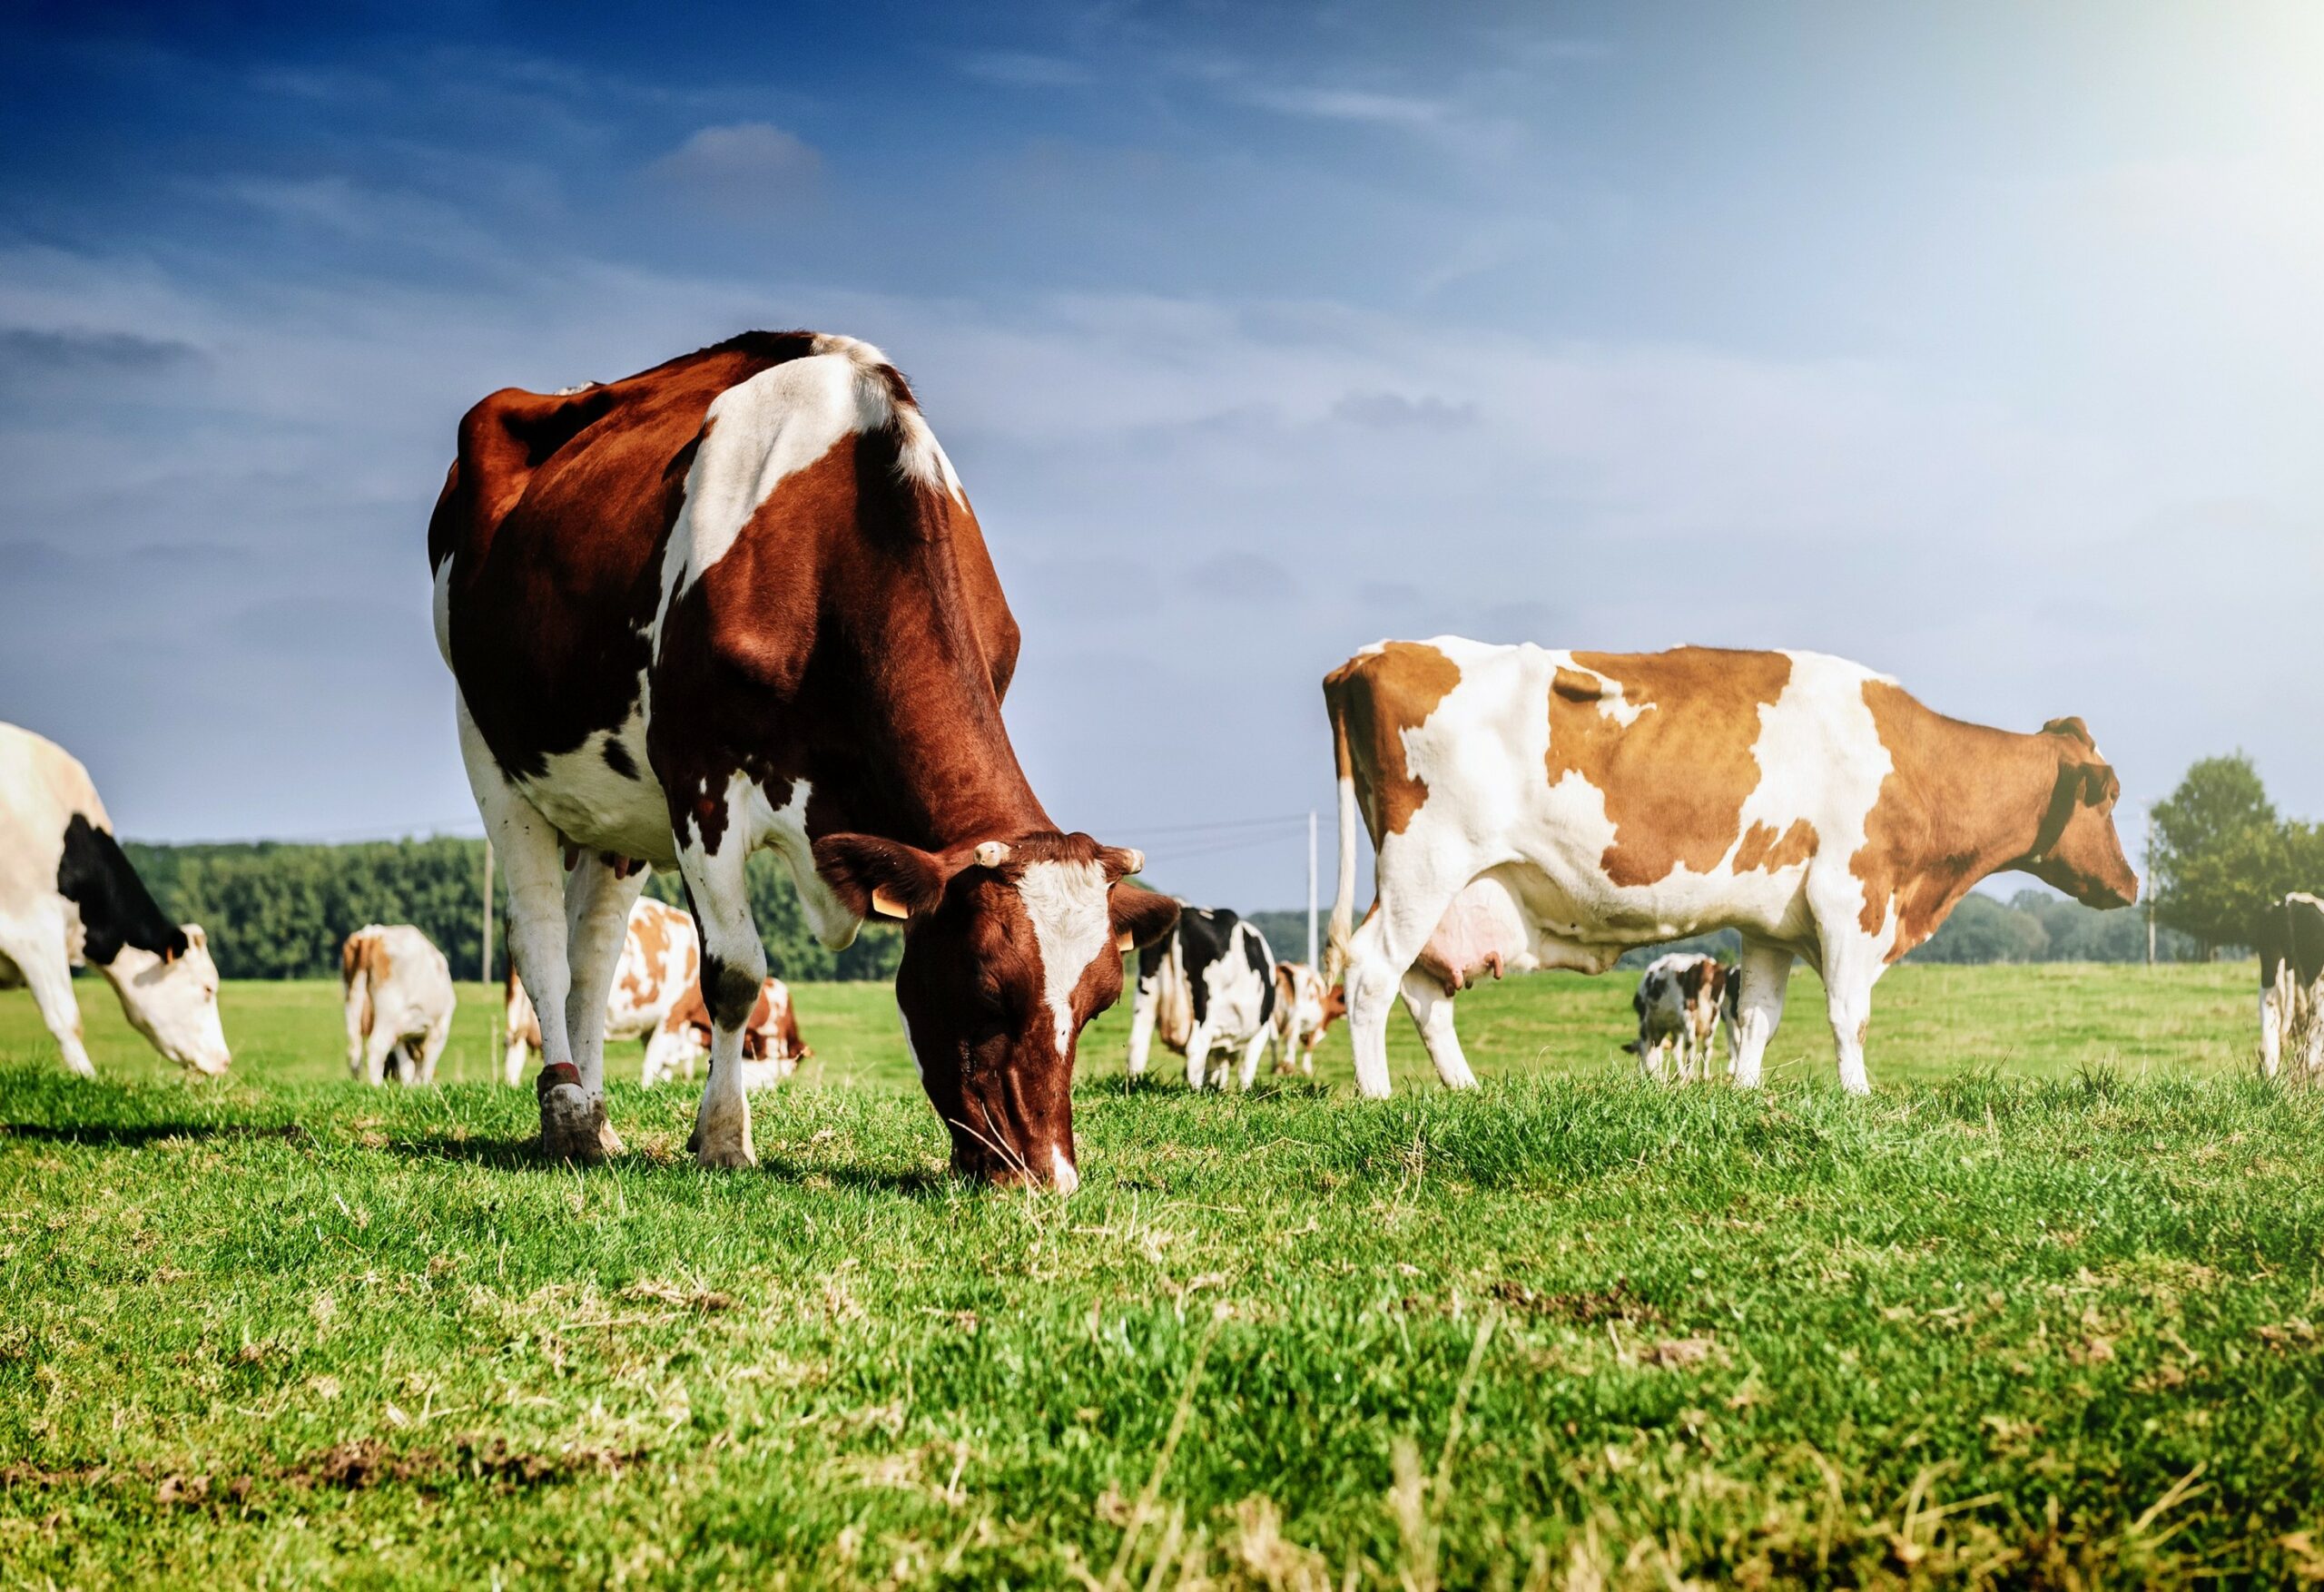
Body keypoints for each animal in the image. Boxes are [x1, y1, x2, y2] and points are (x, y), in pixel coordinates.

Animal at [341, 924, 455, 1086]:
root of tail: (373, 934)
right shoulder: (440, 1029)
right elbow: (426, 1067)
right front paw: (422, 1087)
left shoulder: (399, 1035)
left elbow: (407, 1066)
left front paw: (409, 1086)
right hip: (388, 1010)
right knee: (376, 1048)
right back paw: (377, 1086)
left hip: (352, 1000)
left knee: (353, 1051)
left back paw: (357, 1085)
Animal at [500, 896, 701, 1086]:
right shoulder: (672, 1015)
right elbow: (652, 1062)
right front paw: (647, 1086)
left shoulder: (652, 1026)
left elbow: (663, 1067)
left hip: (516, 1005)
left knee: (514, 1050)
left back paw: (512, 1085)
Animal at [1124, 906, 1280, 1091]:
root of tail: (1184, 910)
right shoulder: (1261, 1031)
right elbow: (1246, 1068)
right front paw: (1244, 1091)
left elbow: (1216, 1066)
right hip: (1205, 1005)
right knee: (1196, 1049)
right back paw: (1196, 1091)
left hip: (1146, 997)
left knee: (1137, 1045)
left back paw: (1134, 1086)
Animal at [1269, 960, 1345, 1077]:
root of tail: (1282, 967)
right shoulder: (1317, 1028)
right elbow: (1309, 1046)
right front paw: (1307, 1071)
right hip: (1295, 1018)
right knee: (1291, 1039)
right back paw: (1289, 1067)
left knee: (1274, 1040)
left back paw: (1275, 1068)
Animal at [1624, 952, 1734, 1083]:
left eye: (1638, 1054)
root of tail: (1704, 962)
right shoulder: (1676, 1027)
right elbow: (1674, 1049)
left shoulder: (1645, 1021)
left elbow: (1651, 1049)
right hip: (1713, 1015)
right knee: (1706, 1046)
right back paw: (1704, 1076)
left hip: (1687, 1012)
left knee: (1690, 1044)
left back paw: (1689, 1076)